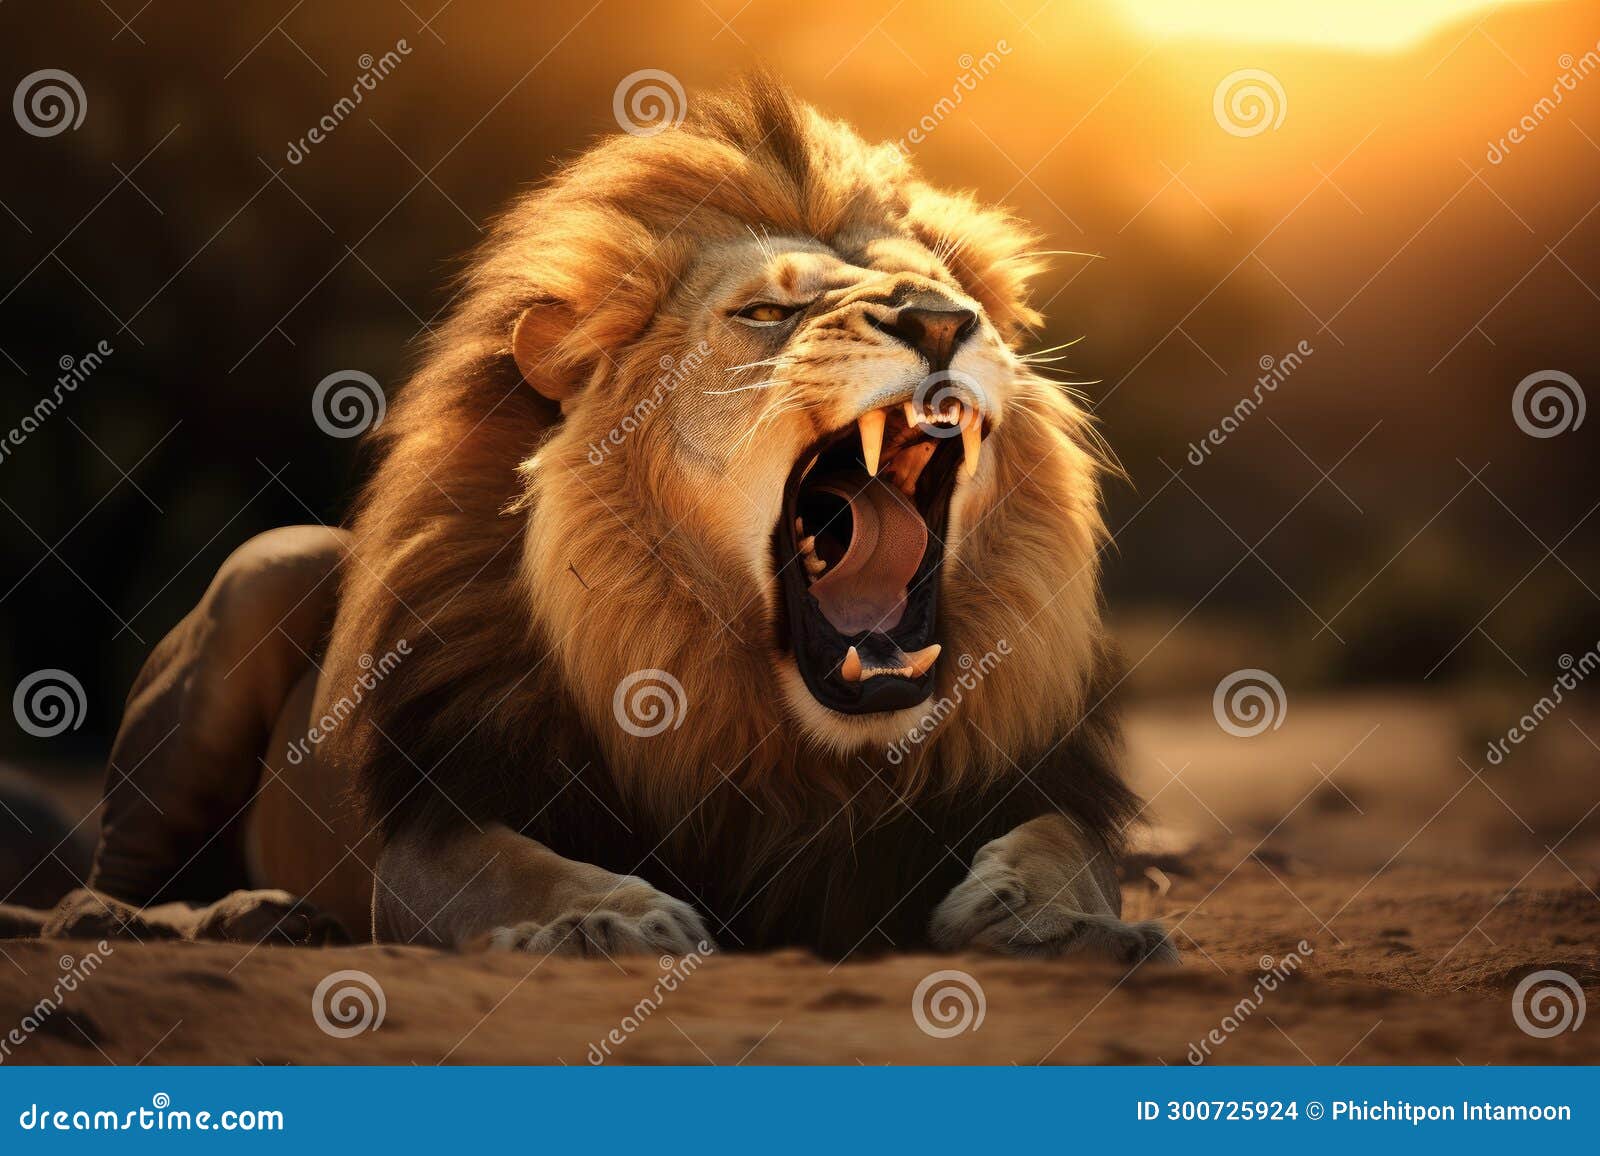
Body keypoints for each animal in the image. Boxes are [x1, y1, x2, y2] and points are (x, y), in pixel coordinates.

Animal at [57, 77, 1175, 964]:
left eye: (946, 293)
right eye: (765, 314)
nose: (942, 322)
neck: (778, 734)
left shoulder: (1020, 779)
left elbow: (1065, 844)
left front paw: (1049, 915)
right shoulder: (438, 813)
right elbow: (515, 869)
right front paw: (609, 917)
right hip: (263, 570)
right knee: (109, 876)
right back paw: (207, 916)